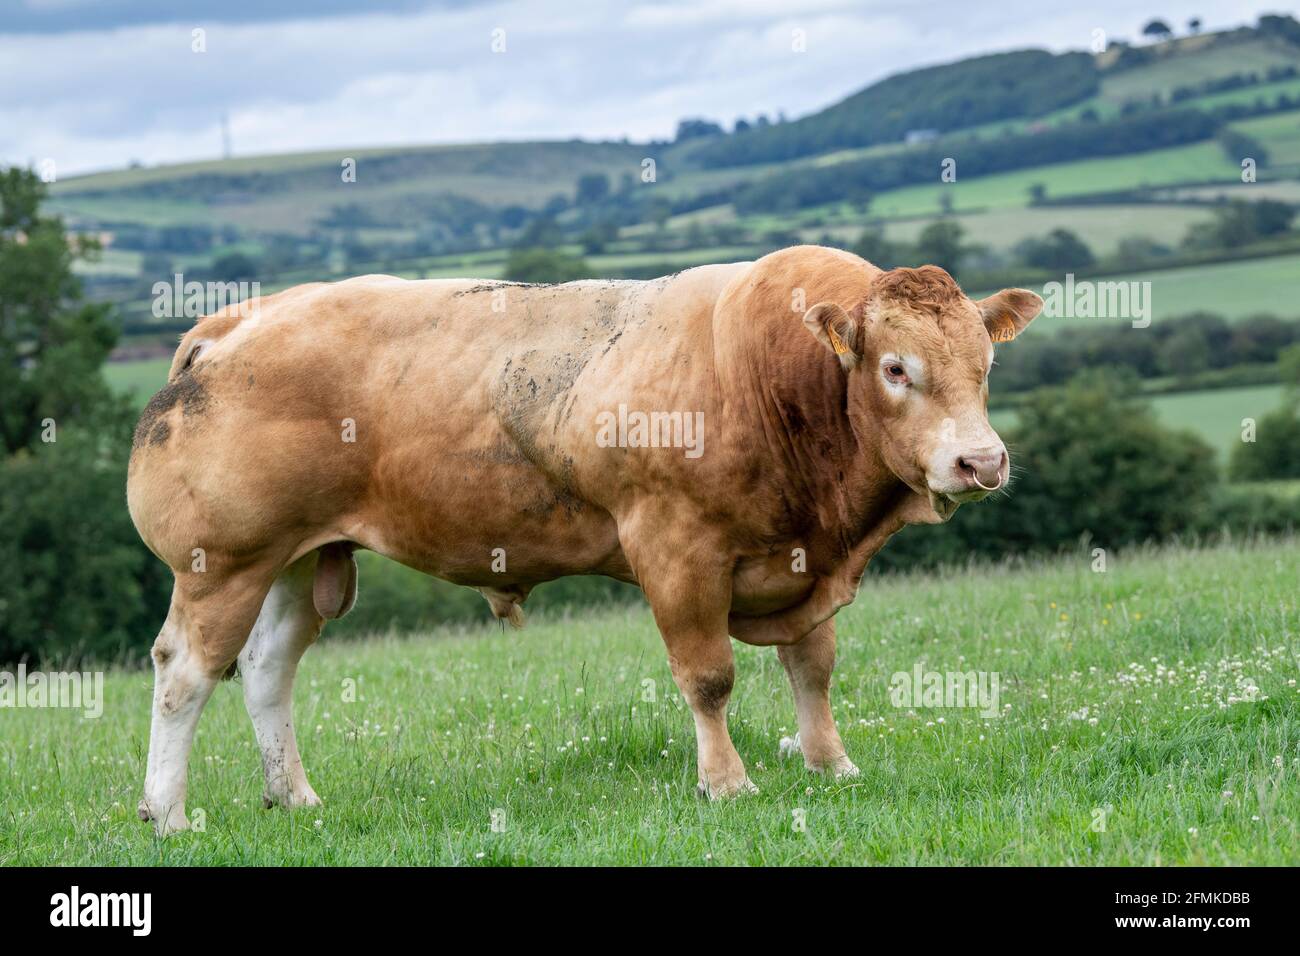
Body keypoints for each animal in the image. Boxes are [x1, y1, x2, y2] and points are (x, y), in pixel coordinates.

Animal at [127, 245, 1040, 835]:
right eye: (895, 368)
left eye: (987, 364)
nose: (982, 460)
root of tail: (240, 318)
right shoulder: (675, 549)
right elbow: (708, 678)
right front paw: (726, 783)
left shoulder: (803, 557)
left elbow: (812, 667)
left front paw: (830, 765)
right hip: (223, 563)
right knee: (185, 673)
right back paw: (169, 813)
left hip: (296, 559)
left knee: (265, 669)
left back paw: (296, 798)